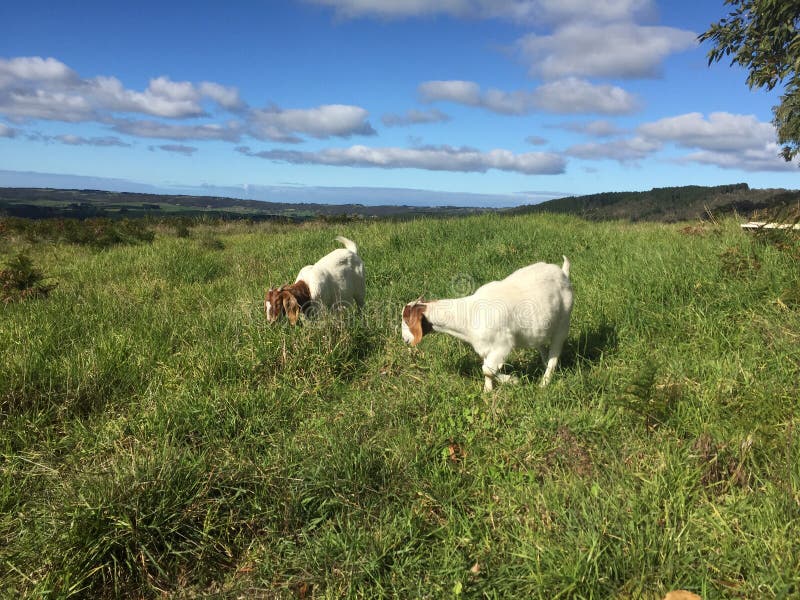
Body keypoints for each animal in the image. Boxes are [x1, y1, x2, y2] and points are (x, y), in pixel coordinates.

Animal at [402, 257, 573, 391]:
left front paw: (513, 380)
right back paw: (543, 364)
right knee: (541, 344)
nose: (405, 339)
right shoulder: (485, 348)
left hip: (564, 322)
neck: (469, 315)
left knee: (555, 354)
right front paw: (488, 390)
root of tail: (562, 273)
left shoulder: (502, 345)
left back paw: (545, 382)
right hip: (537, 328)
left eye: (406, 321)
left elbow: (487, 370)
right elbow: (487, 370)